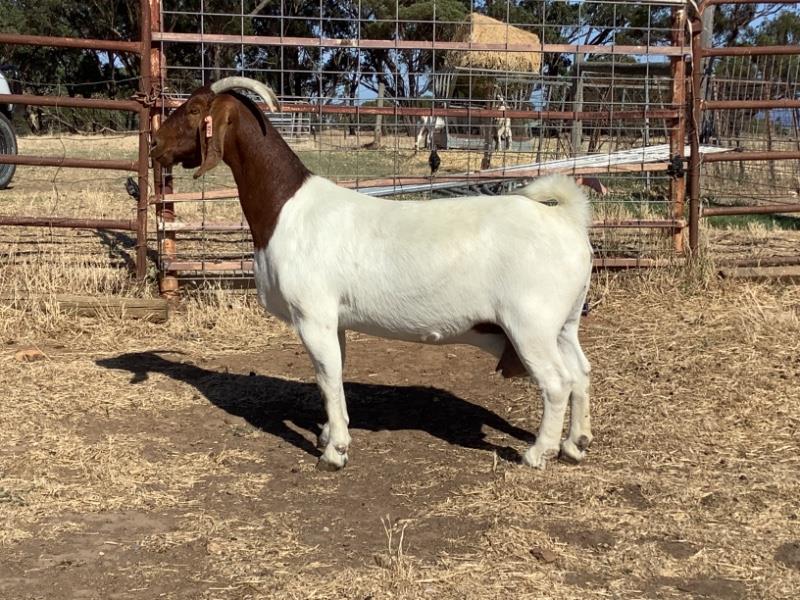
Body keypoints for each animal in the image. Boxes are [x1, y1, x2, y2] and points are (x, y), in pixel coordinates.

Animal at [151, 77, 594, 471]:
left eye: (194, 109)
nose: (155, 146)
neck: (285, 209)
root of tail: (565, 220)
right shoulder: (335, 321)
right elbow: (334, 375)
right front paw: (329, 434)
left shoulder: (312, 316)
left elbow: (328, 378)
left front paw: (335, 453)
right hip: (564, 322)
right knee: (580, 372)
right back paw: (576, 445)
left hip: (530, 323)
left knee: (557, 382)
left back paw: (538, 454)